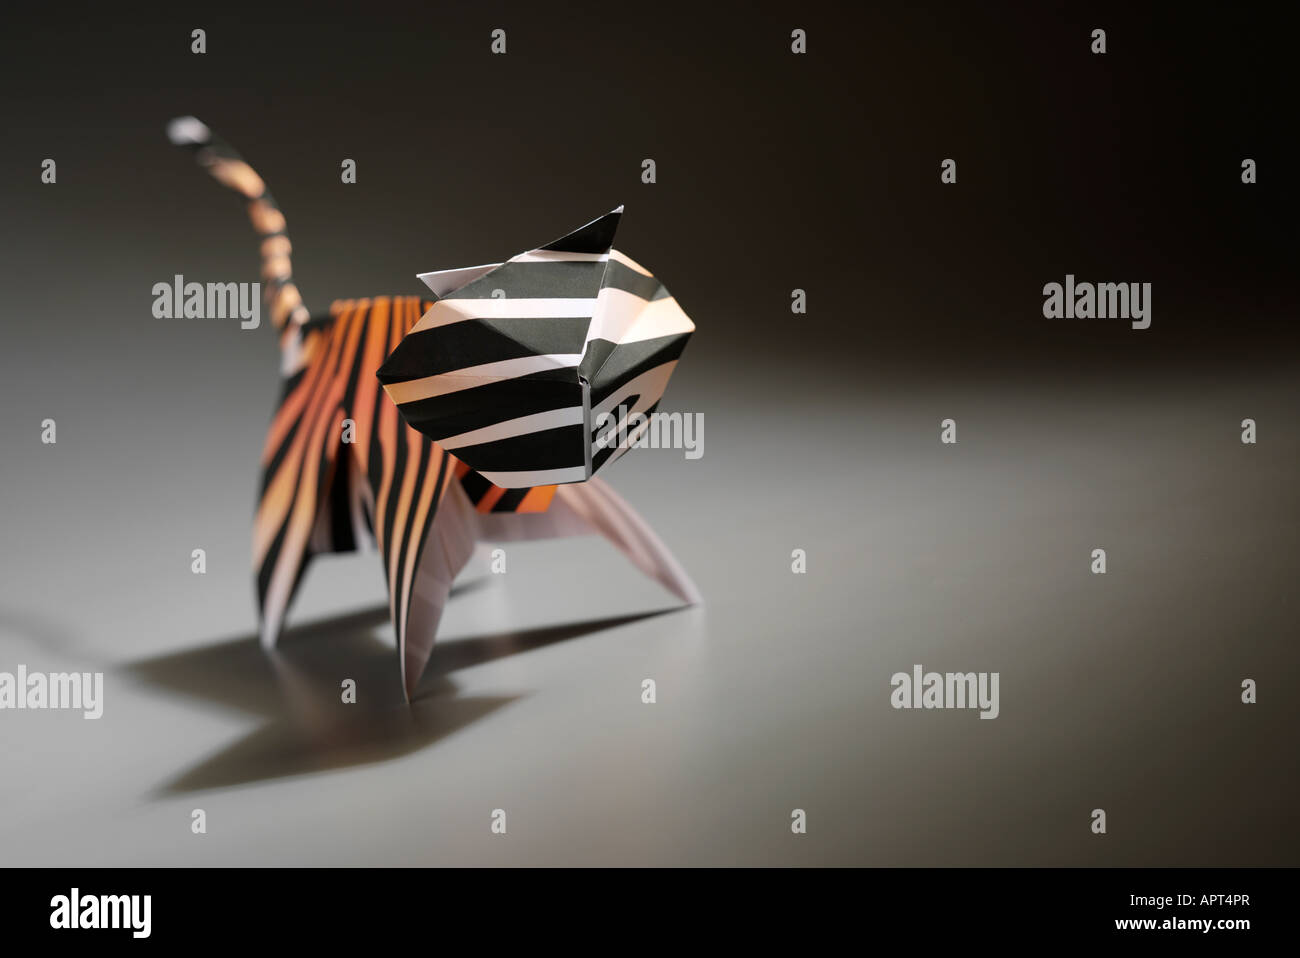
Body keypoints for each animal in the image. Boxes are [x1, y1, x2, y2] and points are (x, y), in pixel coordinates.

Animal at [166, 116, 701, 702]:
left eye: (606, 310)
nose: (584, 384)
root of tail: (309, 329)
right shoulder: (406, 501)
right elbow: (407, 610)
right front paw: (407, 689)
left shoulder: (568, 500)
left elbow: (641, 544)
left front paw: (684, 591)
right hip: (292, 495)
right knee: (272, 583)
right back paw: (268, 642)